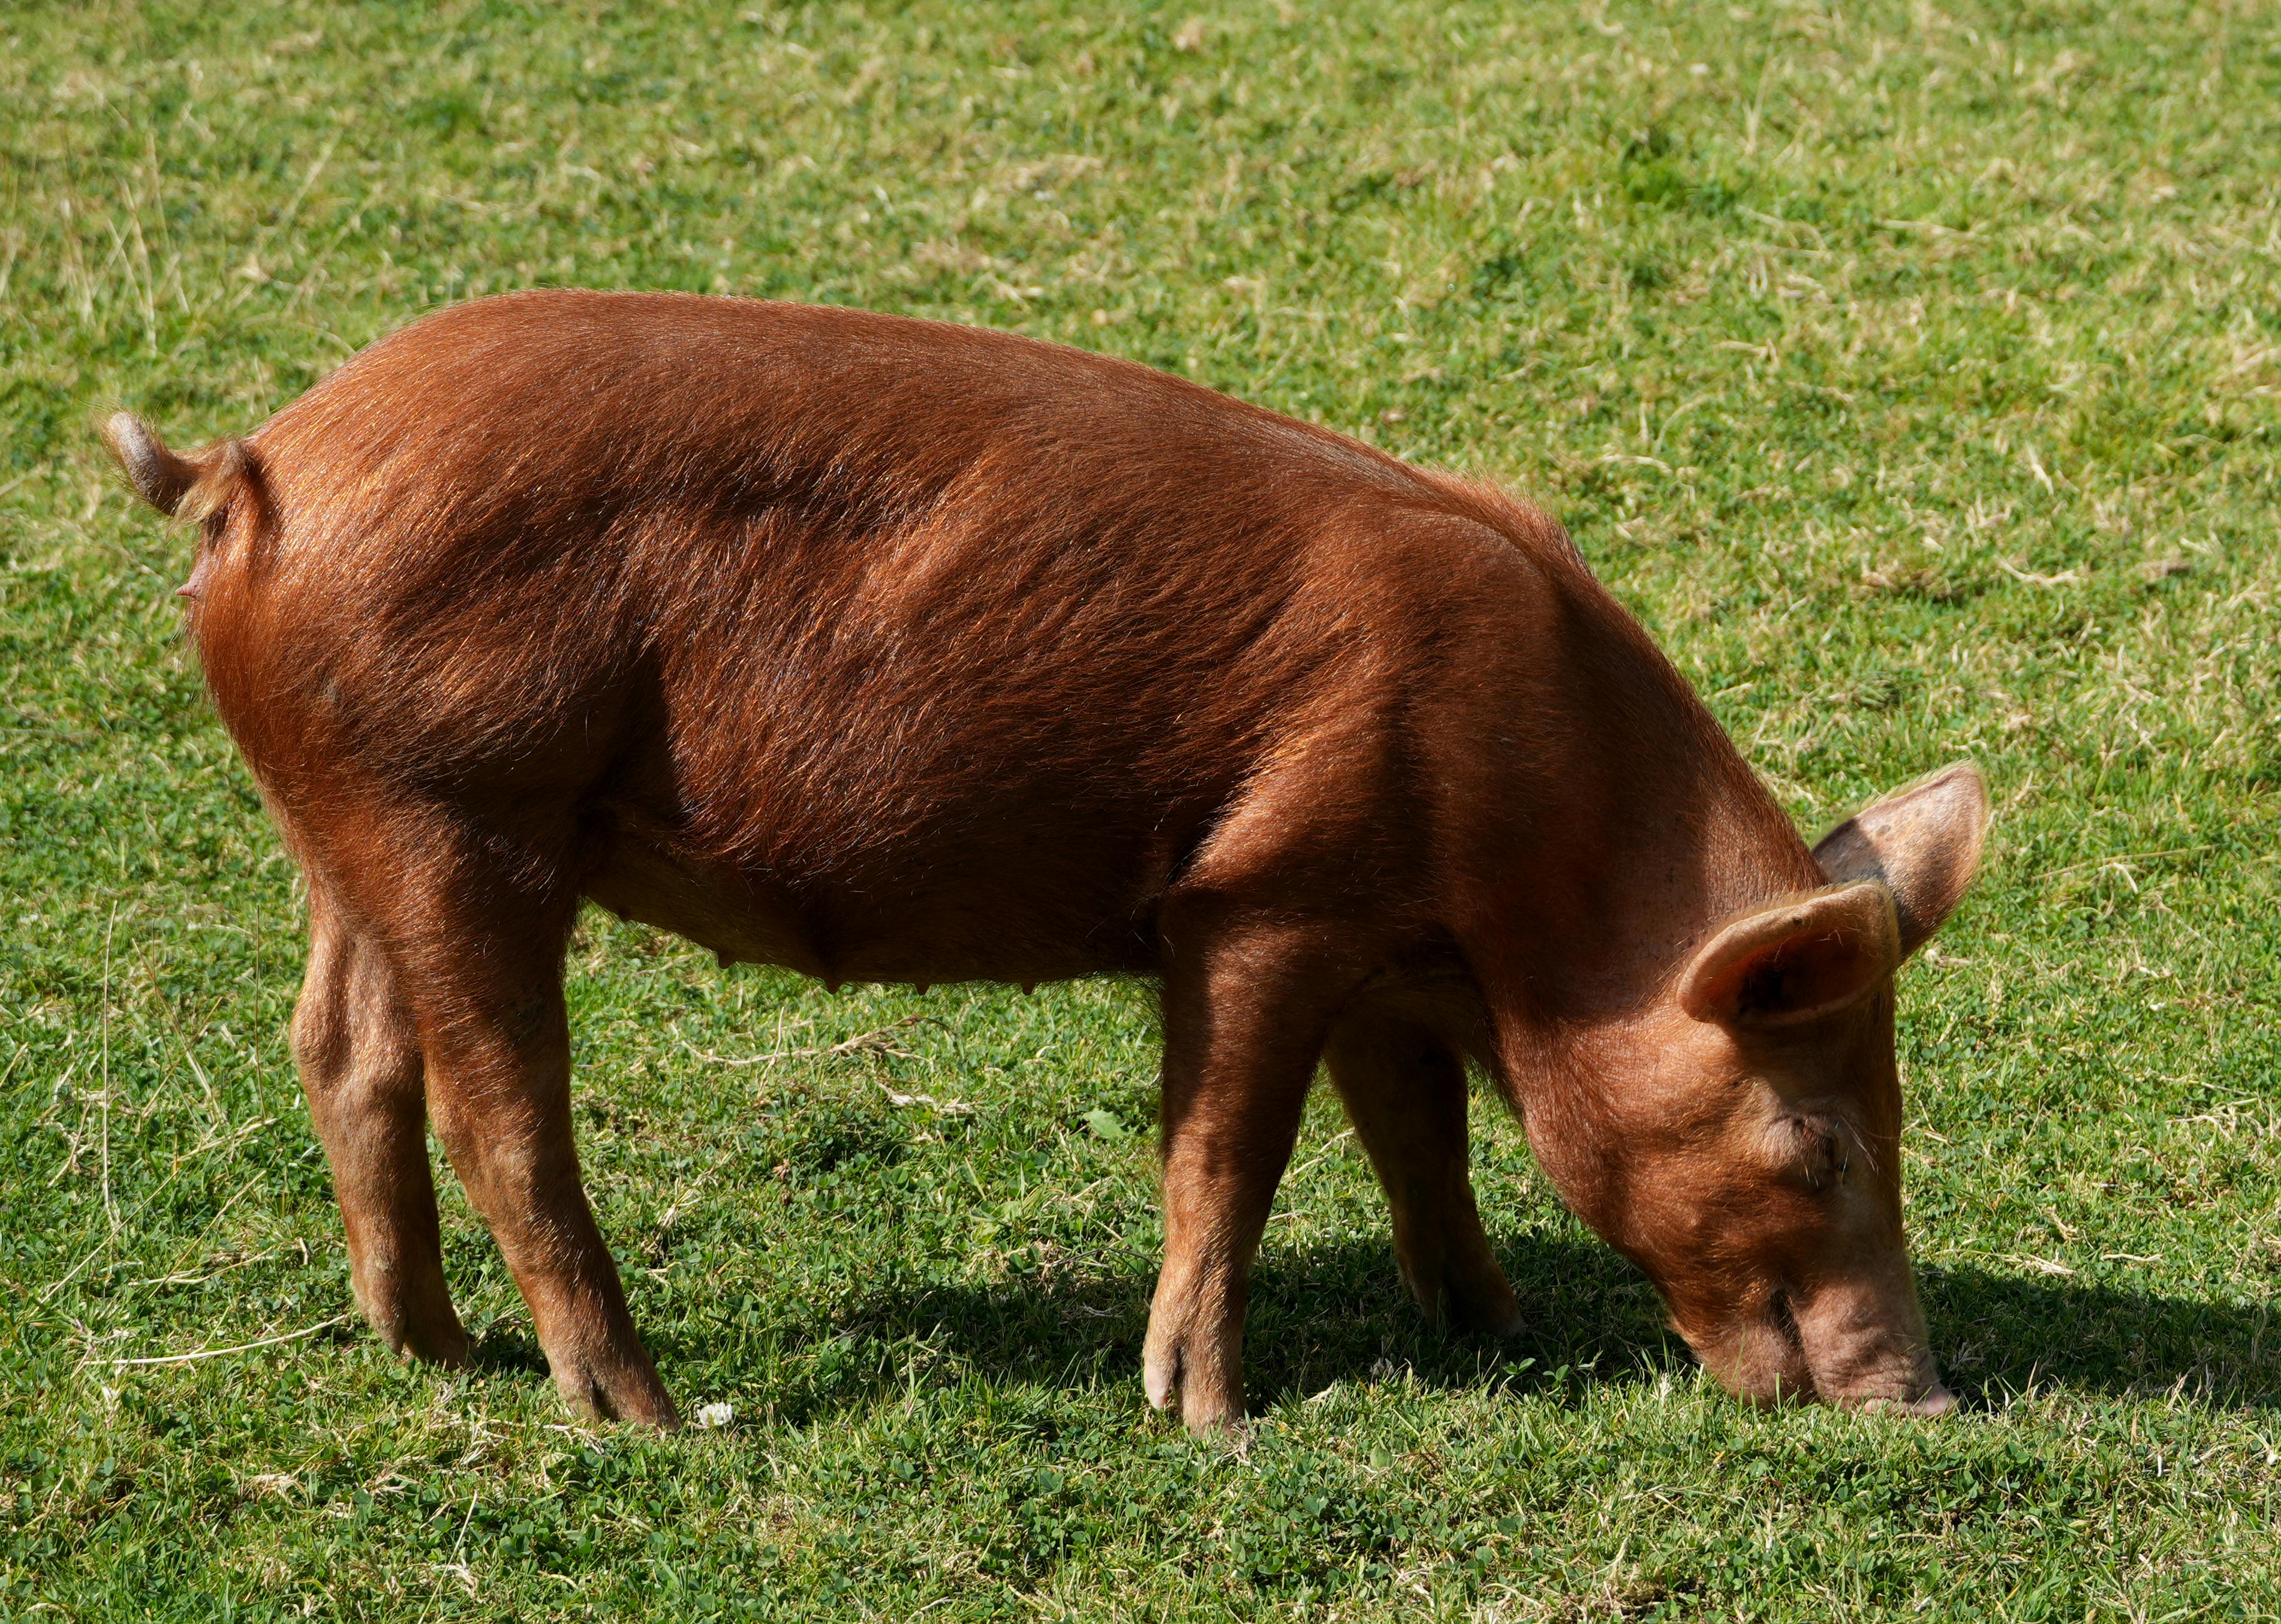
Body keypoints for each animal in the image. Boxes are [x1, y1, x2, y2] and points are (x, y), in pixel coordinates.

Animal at [107, 290, 1986, 1432]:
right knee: (500, 1108)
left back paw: (431, 1349)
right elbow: (1227, 1153)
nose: (1922, 1395)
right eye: (1815, 1142)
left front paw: (1493, 1324)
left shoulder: (1382, 950)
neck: (1544, 883)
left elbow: (1422, 1139)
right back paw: (640, 1408)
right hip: (460, 809)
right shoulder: (1259, 895)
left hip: (348, 821)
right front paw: (1207, 1413)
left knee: (341, 1050)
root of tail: (253, 462)